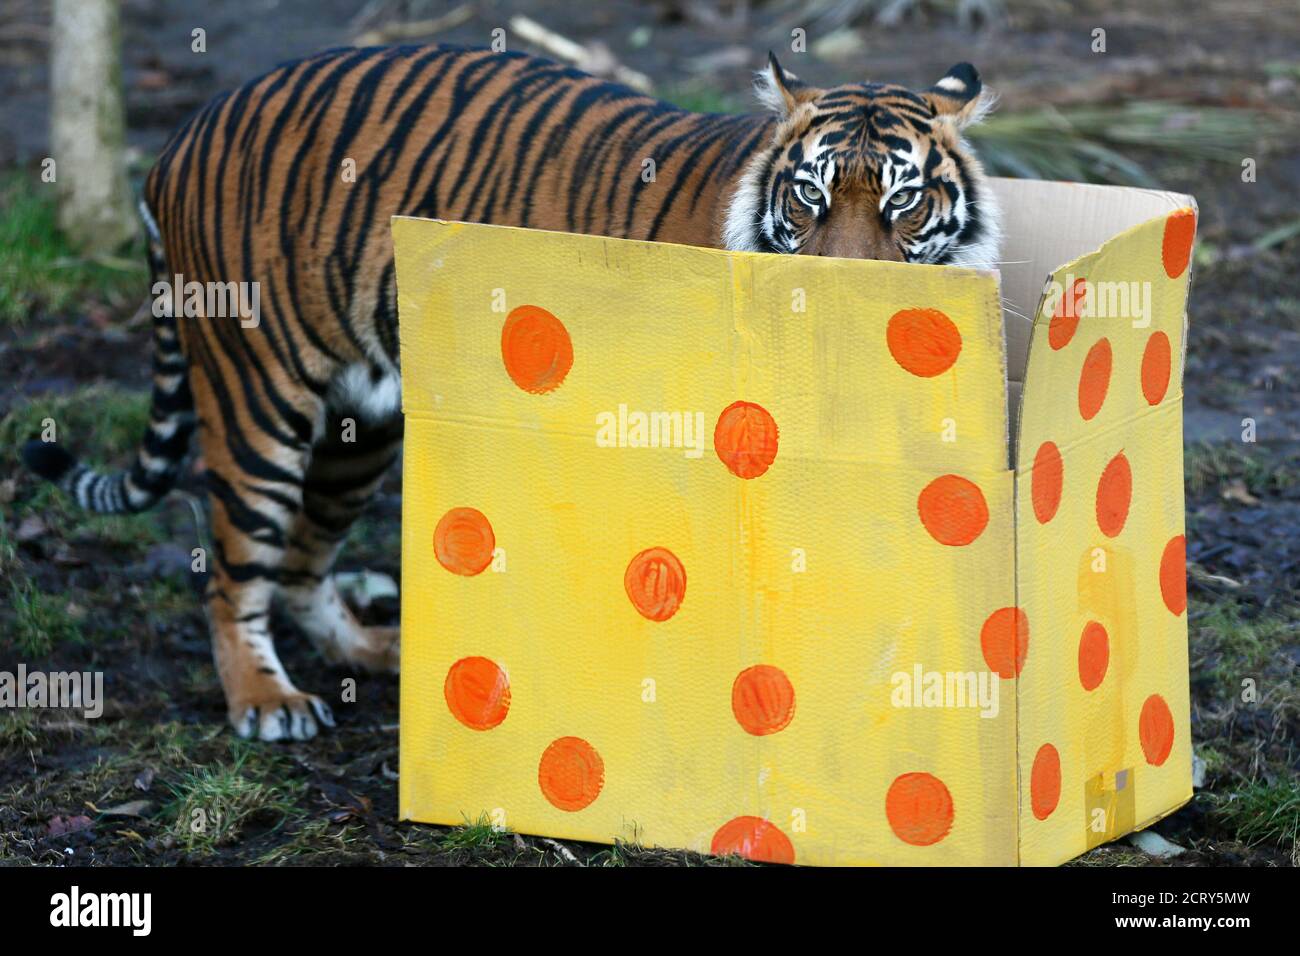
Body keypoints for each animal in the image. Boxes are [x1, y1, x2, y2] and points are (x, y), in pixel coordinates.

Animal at [22, 45, 1001, 740]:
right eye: (808, 198)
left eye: (904, 203)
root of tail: (183, 135)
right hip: (260, 397)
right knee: (233, 573)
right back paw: (267, 701)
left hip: (361, 429)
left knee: (302, 565)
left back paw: (369, 649)